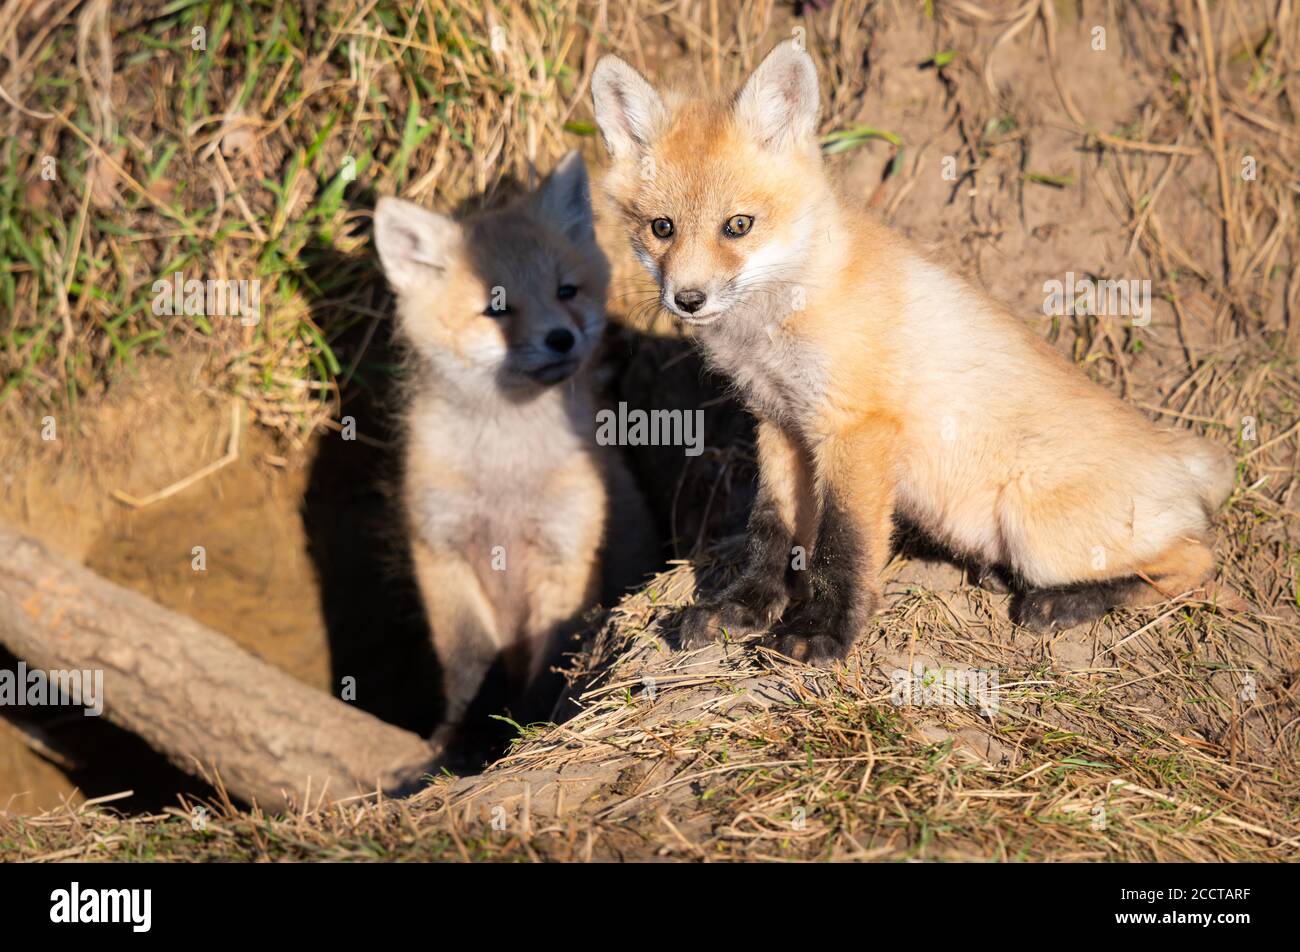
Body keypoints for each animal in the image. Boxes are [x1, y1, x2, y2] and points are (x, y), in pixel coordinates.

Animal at [374, 151, 655, 750]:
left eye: (566, 291)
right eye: (495, 308)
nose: (560, 339)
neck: (505, 478)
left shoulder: (566, 550)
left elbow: (552, 659)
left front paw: (524, 728)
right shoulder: (441, 550)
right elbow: (468, 662)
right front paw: (460, 738)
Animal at [590, 41, 1235, 662]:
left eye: (738, 226)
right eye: (662, 228)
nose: (687, 299)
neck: (776, 326)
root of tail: (1178, 452)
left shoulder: (856, 429)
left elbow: (843, 545)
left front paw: (822, 634)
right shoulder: (781, 424)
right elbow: (770, 533)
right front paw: (740, 612)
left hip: (1037, 530)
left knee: (1197, 561)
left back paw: (1067, 602)